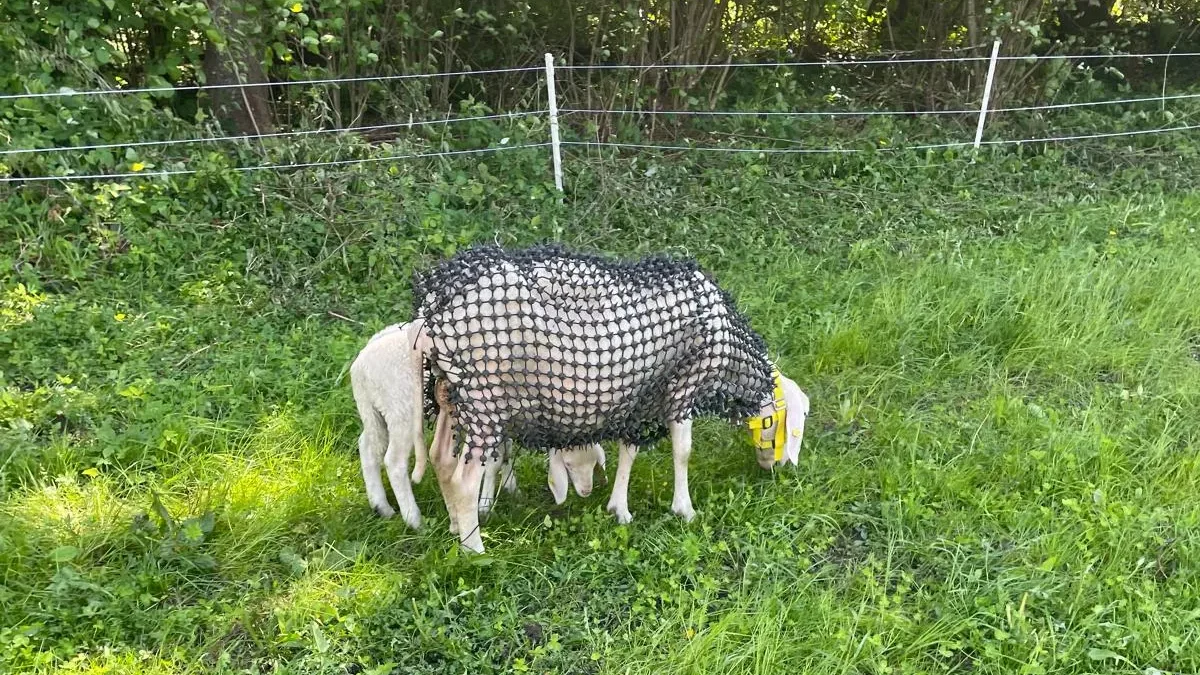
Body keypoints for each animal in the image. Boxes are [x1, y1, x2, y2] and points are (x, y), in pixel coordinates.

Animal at [413, 244, 810, 552]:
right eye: (786, 427)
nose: (778, 469)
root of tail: (434, 305)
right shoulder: (684, 385)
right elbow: (683, 452)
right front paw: (684, 509)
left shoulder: (641, 395)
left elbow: (628, 450)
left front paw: (618, 508)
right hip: (485, 396)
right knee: (463, 478)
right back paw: (474, 549)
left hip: (453, 394)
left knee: (441, 459)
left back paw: (456, 526)